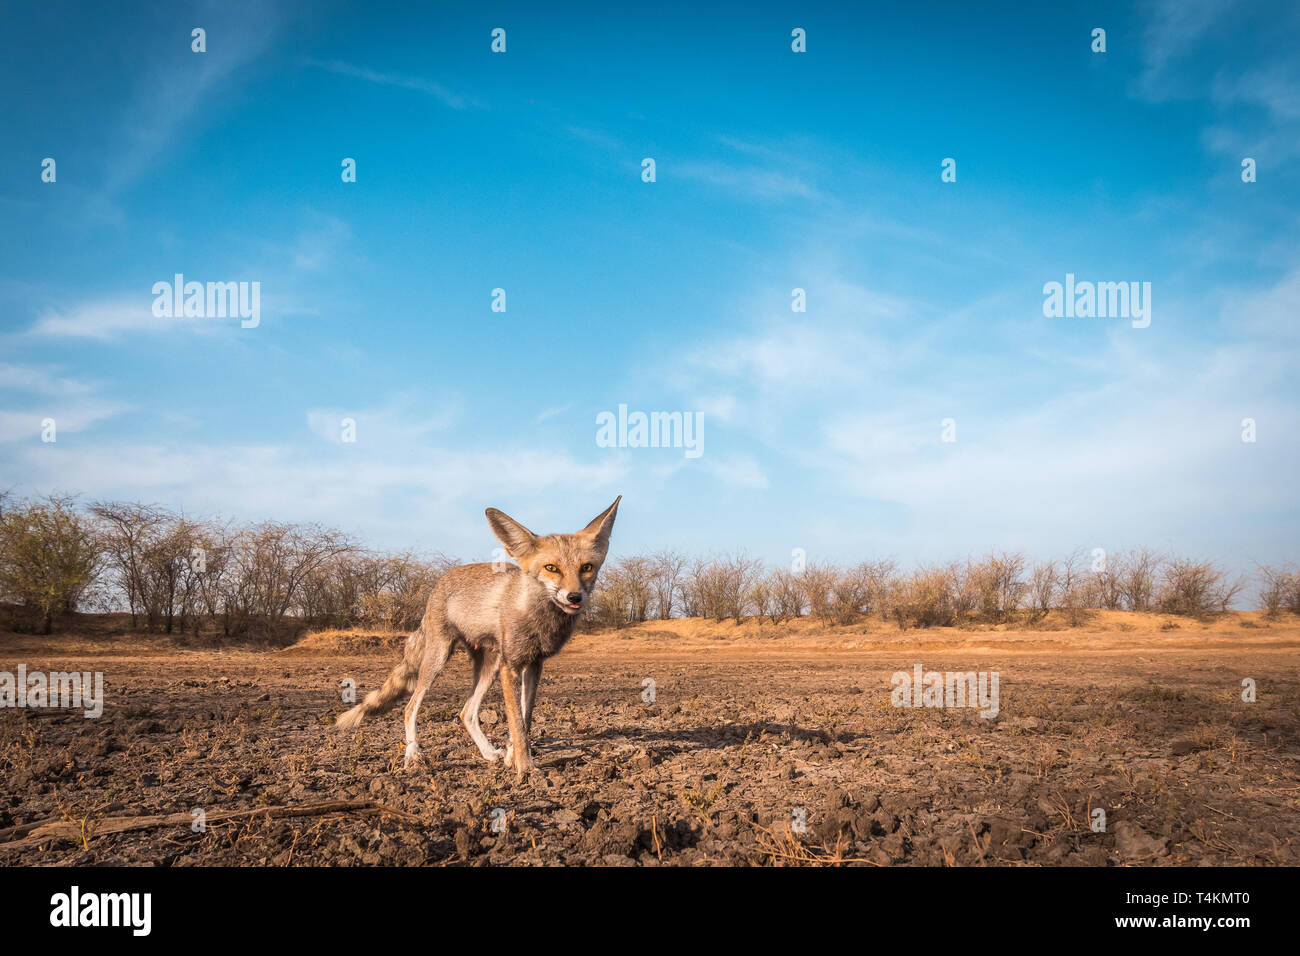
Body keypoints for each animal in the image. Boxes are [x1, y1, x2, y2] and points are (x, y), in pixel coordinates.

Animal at [335, 496, 621, 778]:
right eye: (552, 568)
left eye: (586, 568)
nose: (574, 597)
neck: (537, 617)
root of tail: (438, 584)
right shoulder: (510, 666)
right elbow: (517, 724)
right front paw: (526, 771)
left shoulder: (534, 665)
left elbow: (525, 721)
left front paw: (511, 758)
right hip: (439, 659)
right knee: (410, 707)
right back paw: (413, 754)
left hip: (489, 665)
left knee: (466, 713)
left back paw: (488, 753)